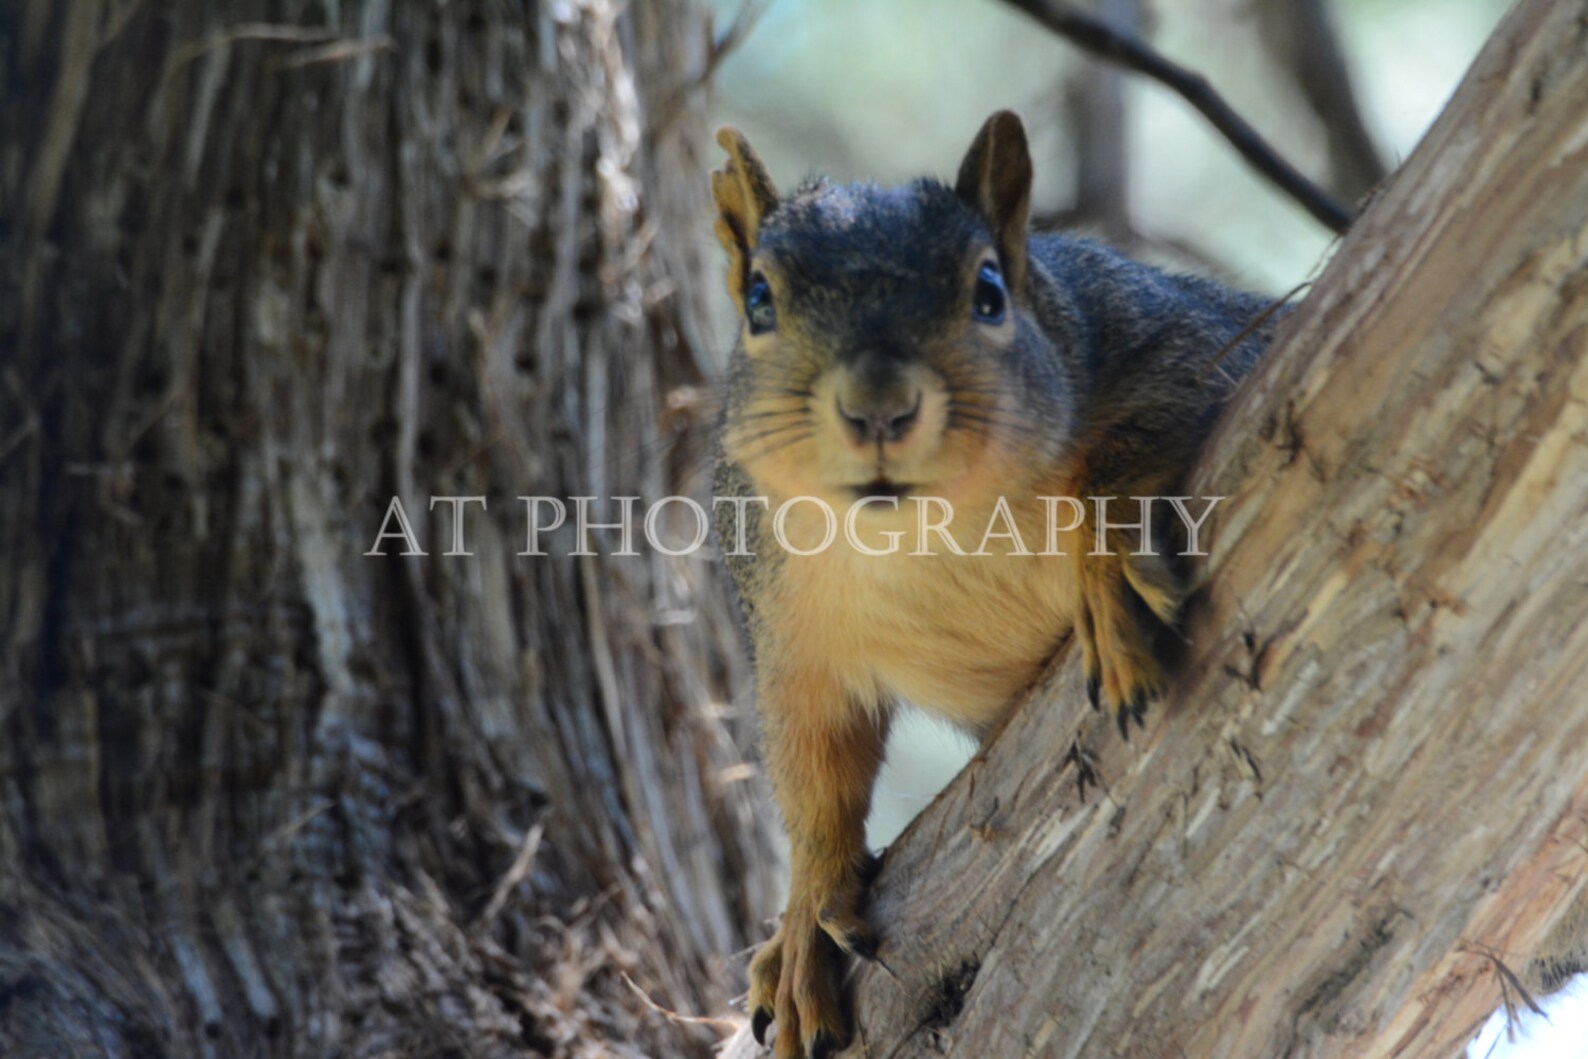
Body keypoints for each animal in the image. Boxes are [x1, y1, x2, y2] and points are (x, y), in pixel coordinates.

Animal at [710, 111, 1287, 1059]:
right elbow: (814, 768)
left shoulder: (1179, 341)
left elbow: (1147, 427)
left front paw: (1107, 567)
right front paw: (801, 919)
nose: (878, 404)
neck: (925, 533)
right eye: (759, 299)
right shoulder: (787, 635)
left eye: (989, 290)